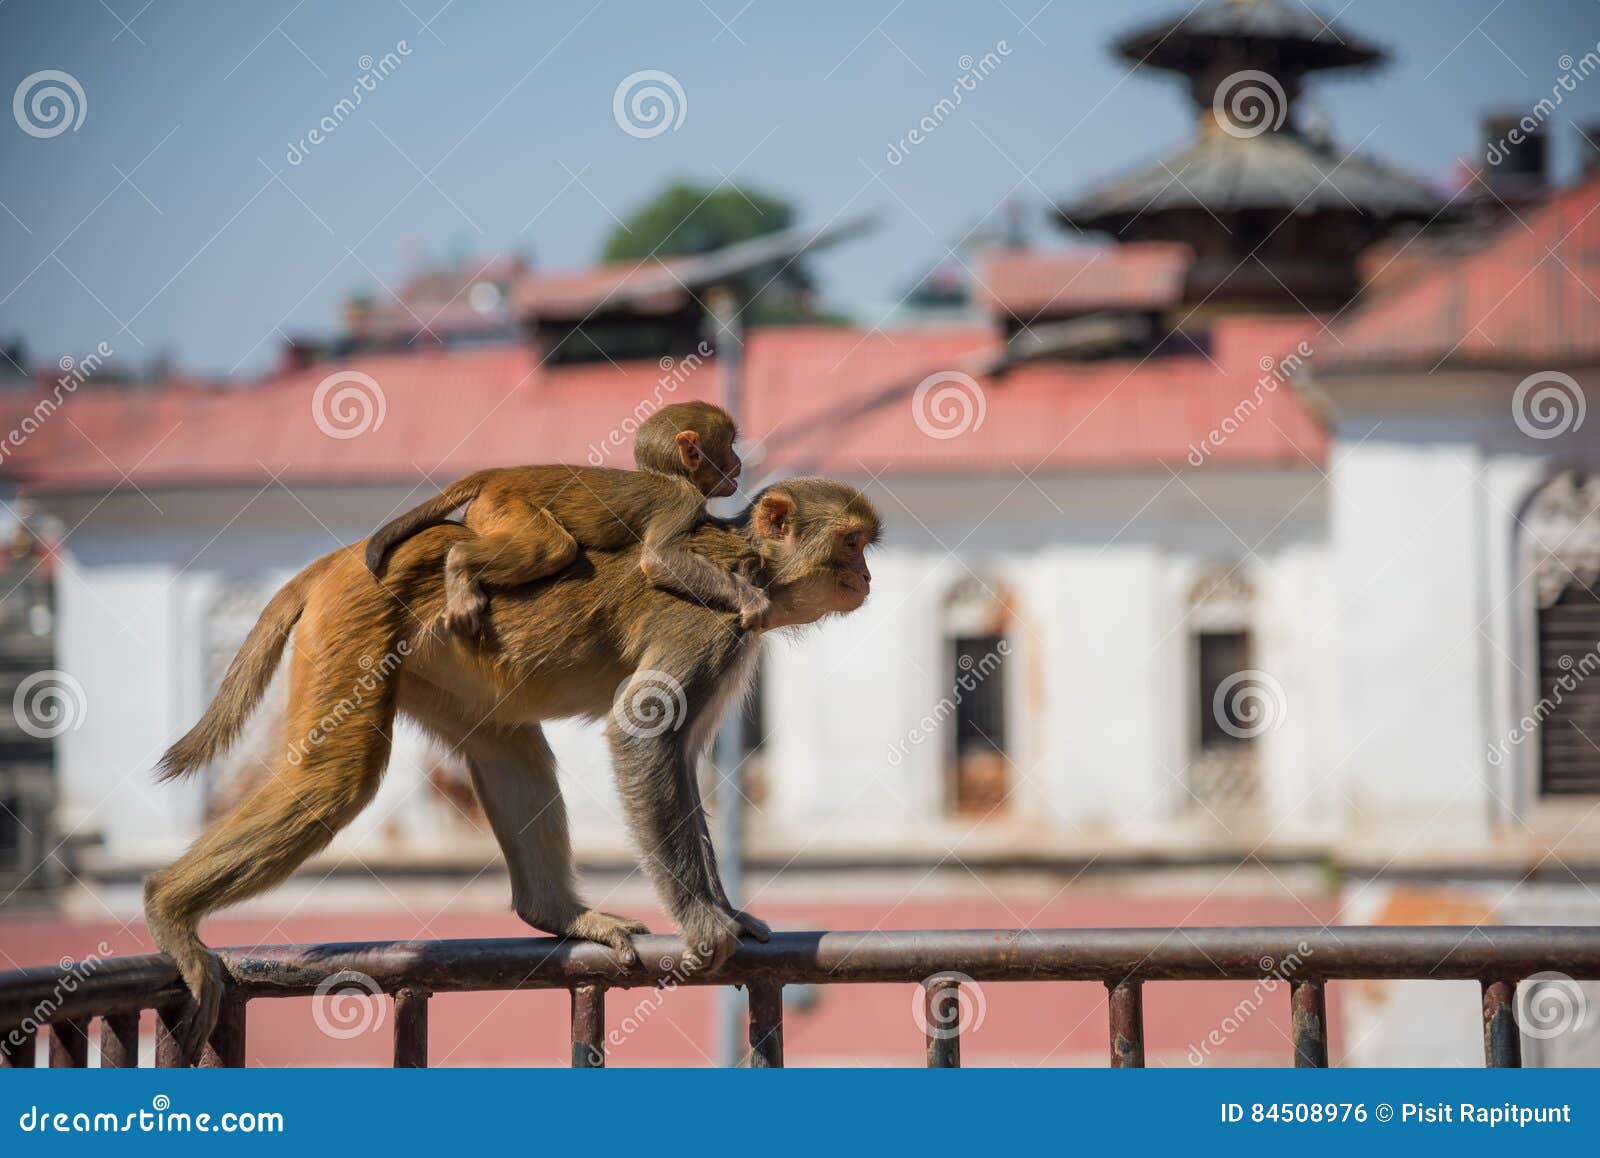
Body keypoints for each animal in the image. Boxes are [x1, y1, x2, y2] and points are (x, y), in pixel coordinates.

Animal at [144, 477, 880, 1064]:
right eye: (851, 543)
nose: (868, 576)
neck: (751, 566)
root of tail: (341, 558)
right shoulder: (712, 623)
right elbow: (644, 735)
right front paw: (705, 924)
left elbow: (682, 757)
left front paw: (727, 910)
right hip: (359, 621)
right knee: (332, 781)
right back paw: (168, 906)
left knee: (506, 744)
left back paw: (557, 913)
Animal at [363, 400, 772, 635]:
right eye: (729, 447)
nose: (738, 464)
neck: (671, 476)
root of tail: (497, 475)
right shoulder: (682, 503)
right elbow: (660, 560)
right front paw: (749, 598)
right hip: (508, 506)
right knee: (553, 547)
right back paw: (461, 565)